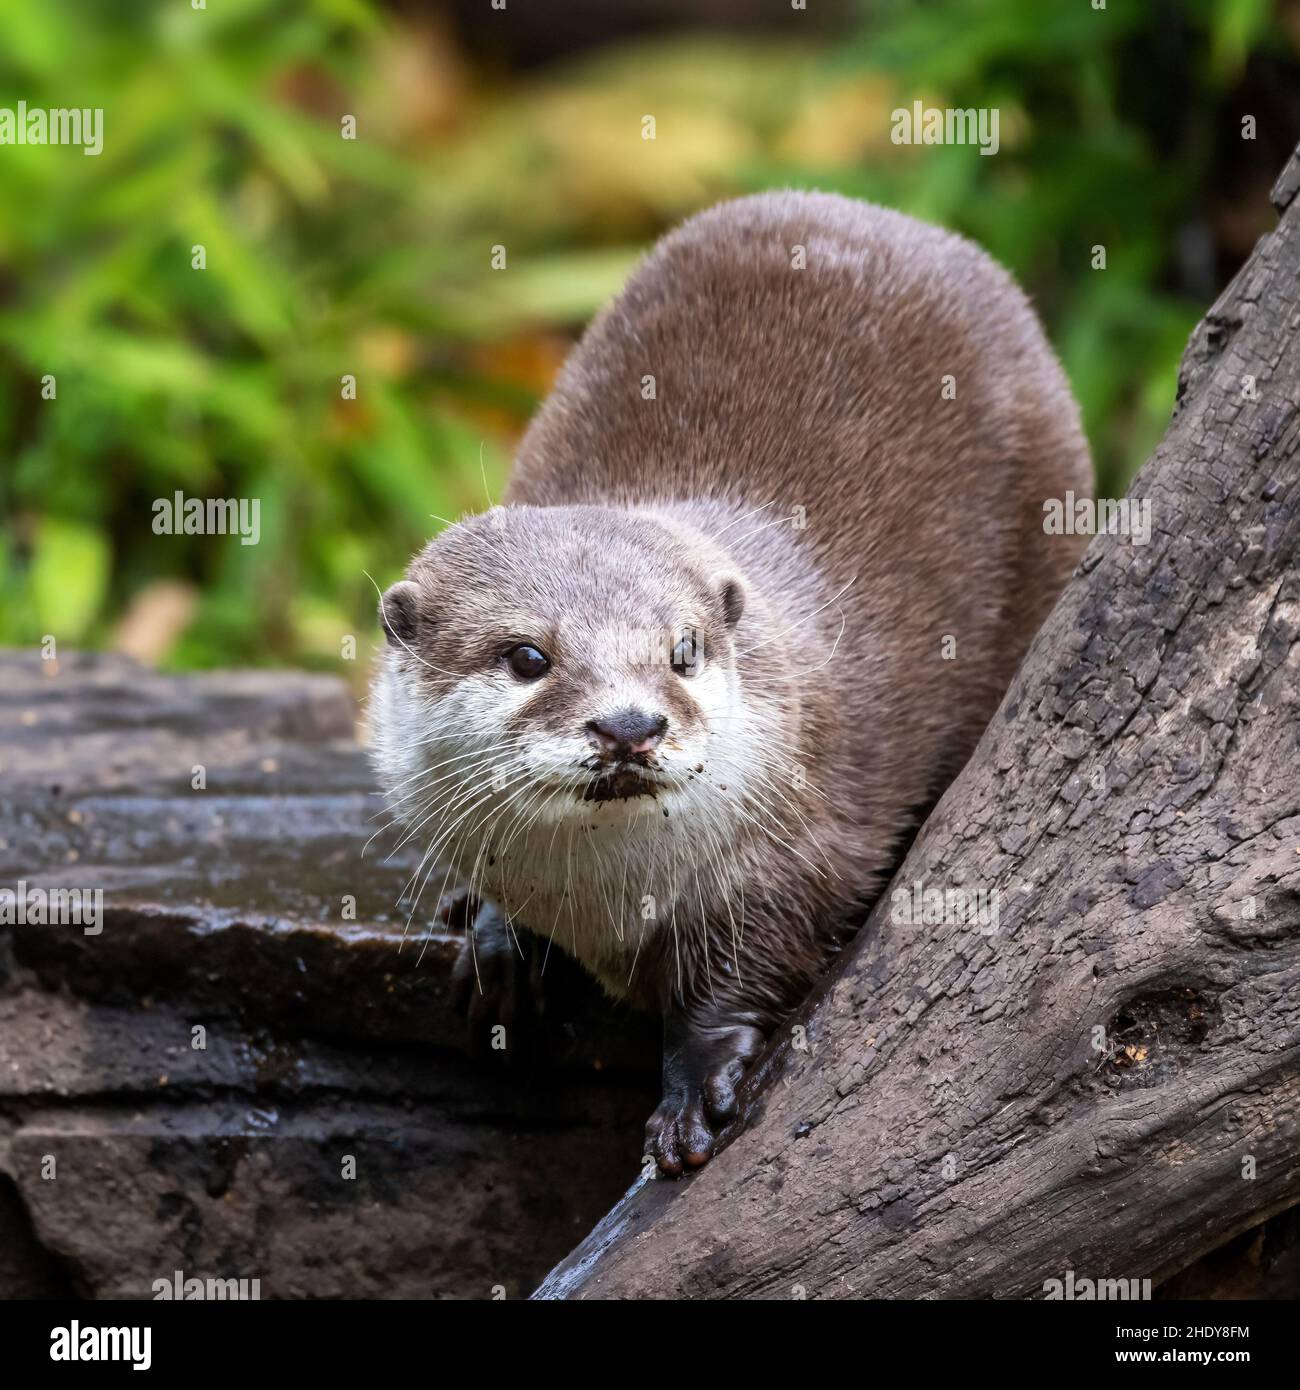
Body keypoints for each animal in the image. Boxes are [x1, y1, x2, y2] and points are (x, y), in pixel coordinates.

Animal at [370, 192, 1091, 1175]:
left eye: (683, 650)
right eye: (527, 657)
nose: (629, 725)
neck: (598, 904)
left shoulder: (799, 837)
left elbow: (755, 957)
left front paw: (697, 1087)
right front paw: (493, 939)